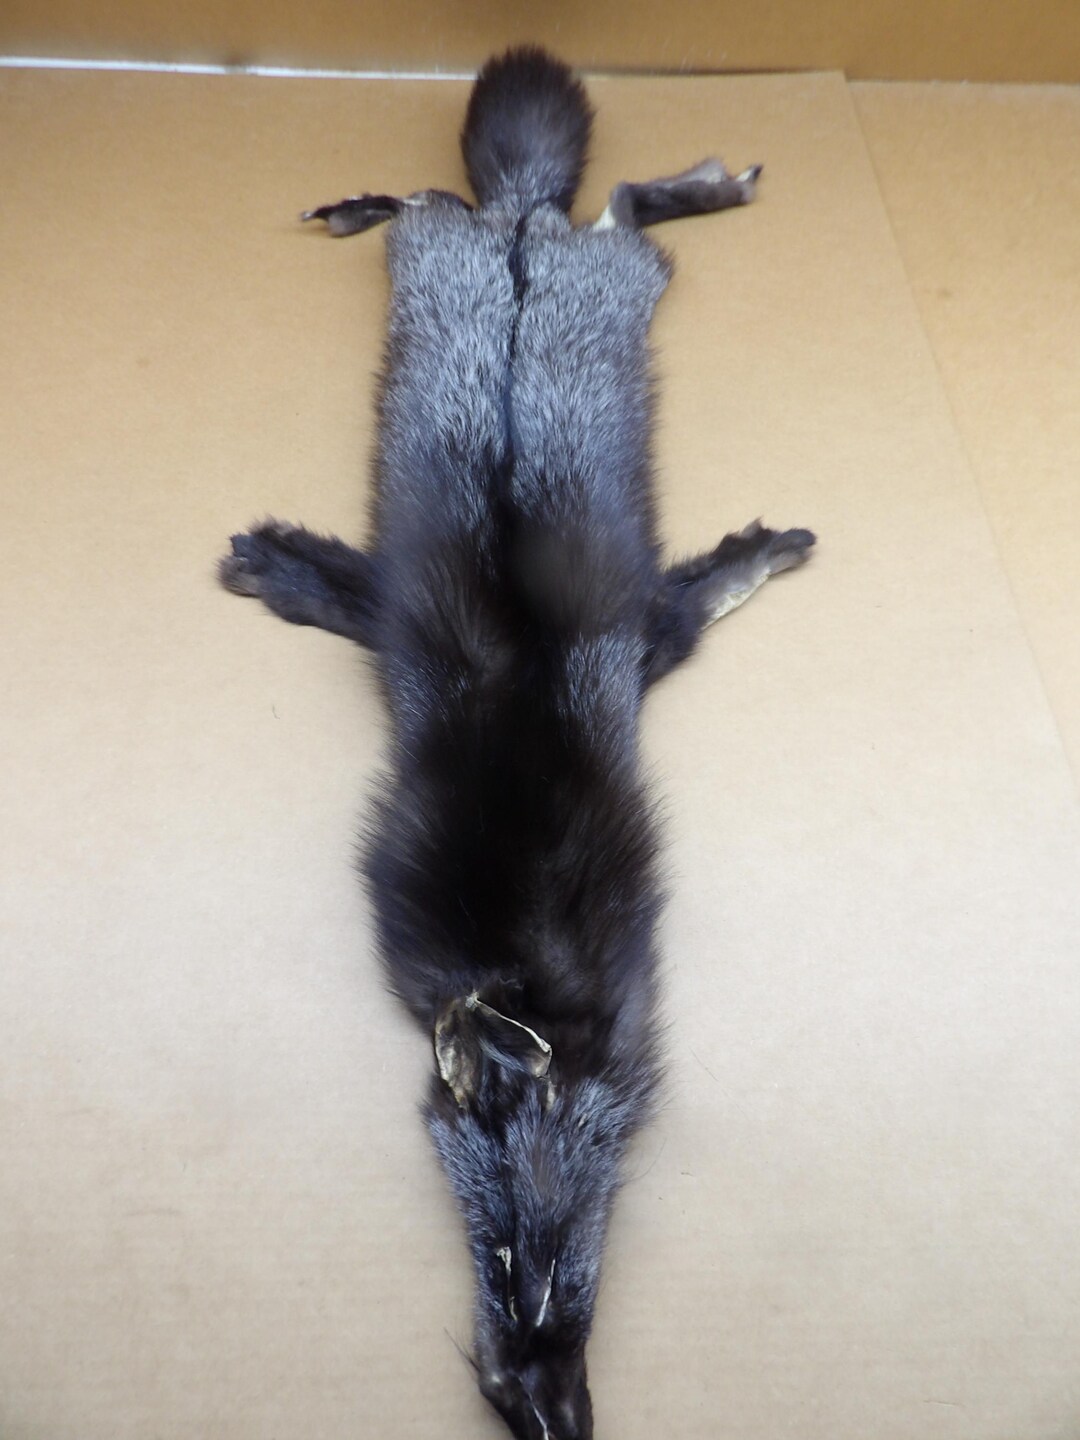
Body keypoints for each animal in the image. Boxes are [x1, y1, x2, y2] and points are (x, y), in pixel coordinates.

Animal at [219, 46, 814, 1440]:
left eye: (564, 1265)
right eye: (497, 1261)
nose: (550, 1416)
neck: (528, 966)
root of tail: (523, 225)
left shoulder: (640, 635)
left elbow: (700, 595)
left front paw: (769, 549)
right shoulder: (455, 632)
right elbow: (352, 594)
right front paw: (276, 563)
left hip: (605, 273)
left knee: (603, 210)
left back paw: (689, 186)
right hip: (481, 253)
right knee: (487, 201)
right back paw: (379, 204)